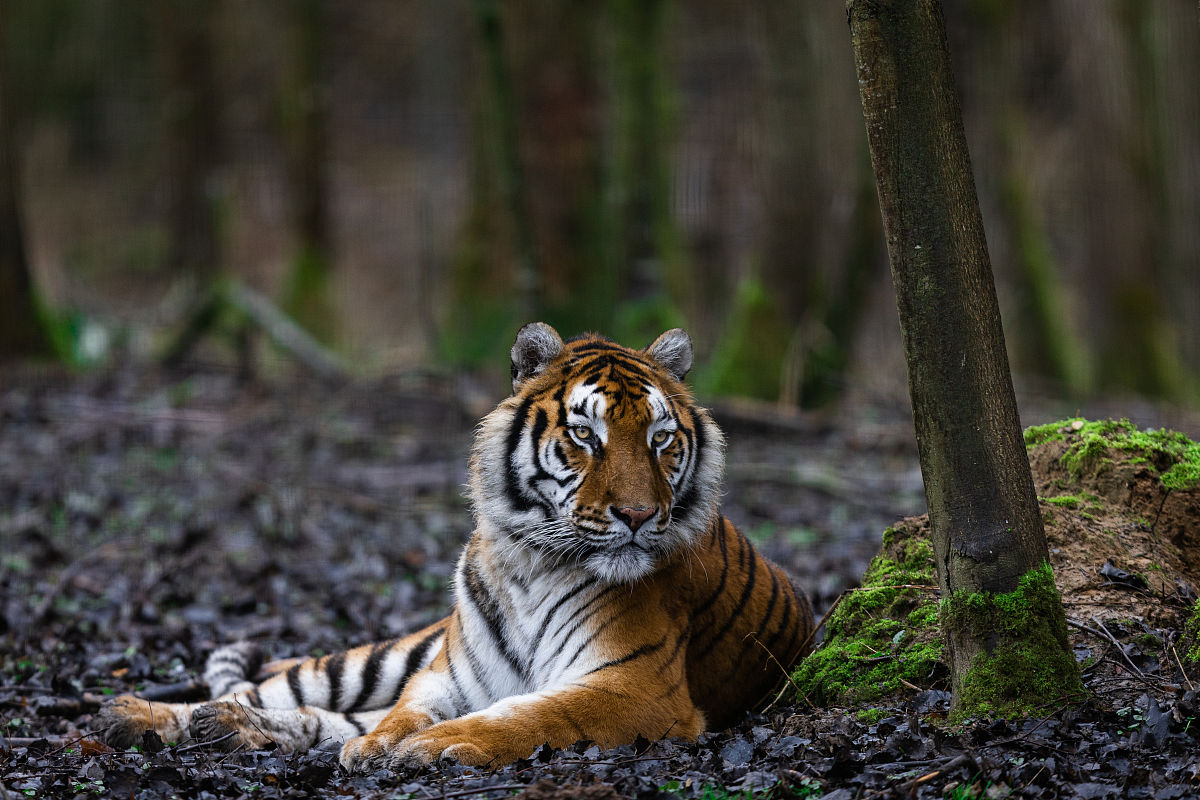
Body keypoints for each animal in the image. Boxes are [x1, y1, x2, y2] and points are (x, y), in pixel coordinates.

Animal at [93, 323, 814, 770]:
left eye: (661, 440)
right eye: (586, 435)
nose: (638, 515)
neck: (531, 563)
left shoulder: (633, 686)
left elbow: (528, 715)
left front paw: (433, 747)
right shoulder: (446, 673)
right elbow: (402, 713)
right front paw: (385, 748)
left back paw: (229, 729)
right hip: (378, 657)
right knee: (279, 688)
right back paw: (144, 713)